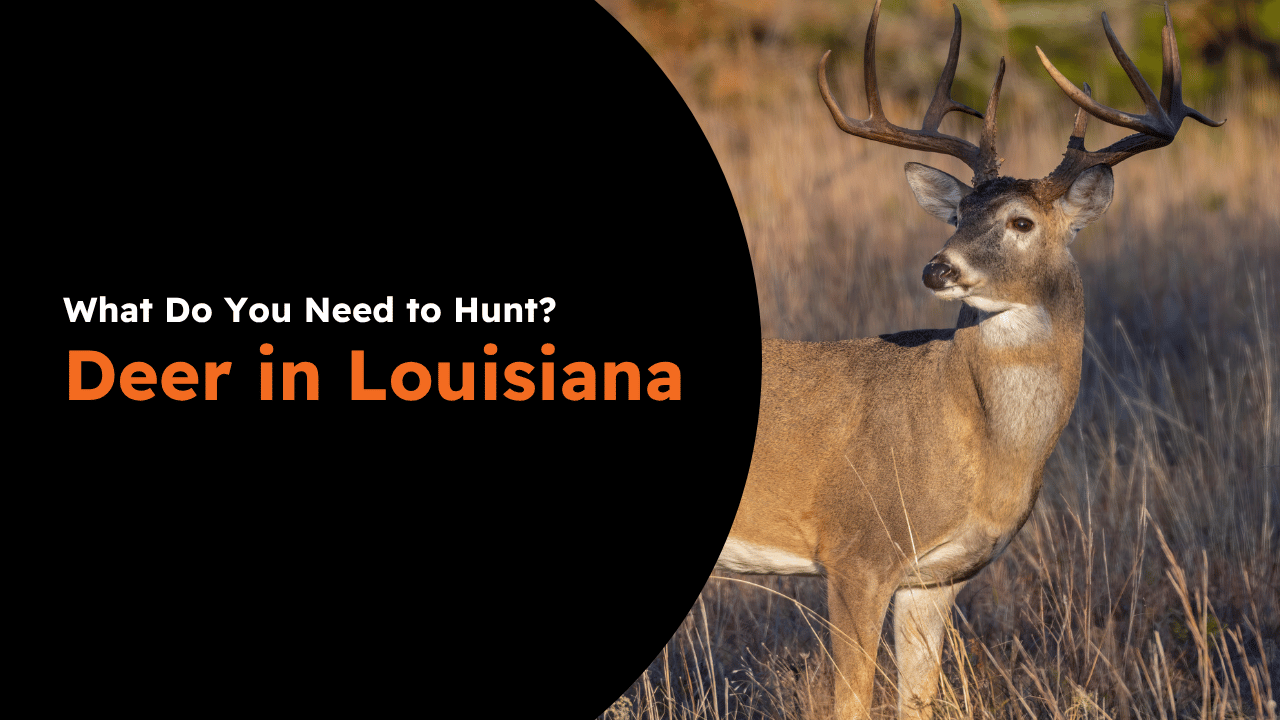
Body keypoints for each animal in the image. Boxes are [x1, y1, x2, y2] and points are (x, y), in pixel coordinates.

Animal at [714, 2, 1223, 718]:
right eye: (957, 213)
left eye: (1020, 223)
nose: (938, 267)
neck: (978, 439)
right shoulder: (856, 550)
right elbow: (851, 701)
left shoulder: (935, 578)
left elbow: (917, 700)